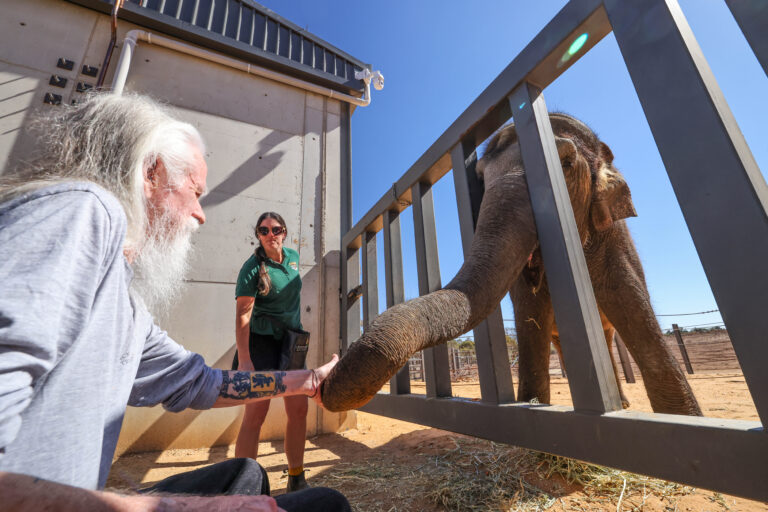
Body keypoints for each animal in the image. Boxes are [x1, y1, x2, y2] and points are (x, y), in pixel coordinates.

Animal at [321, 113, 702, 416]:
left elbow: (630, 300)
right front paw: (535, 413)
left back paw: (619, 404)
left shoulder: (614, 237)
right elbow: (530, 312)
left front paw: (684, 418)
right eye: (480, 178)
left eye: (564, 163)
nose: (323, 385)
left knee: (607, 337)